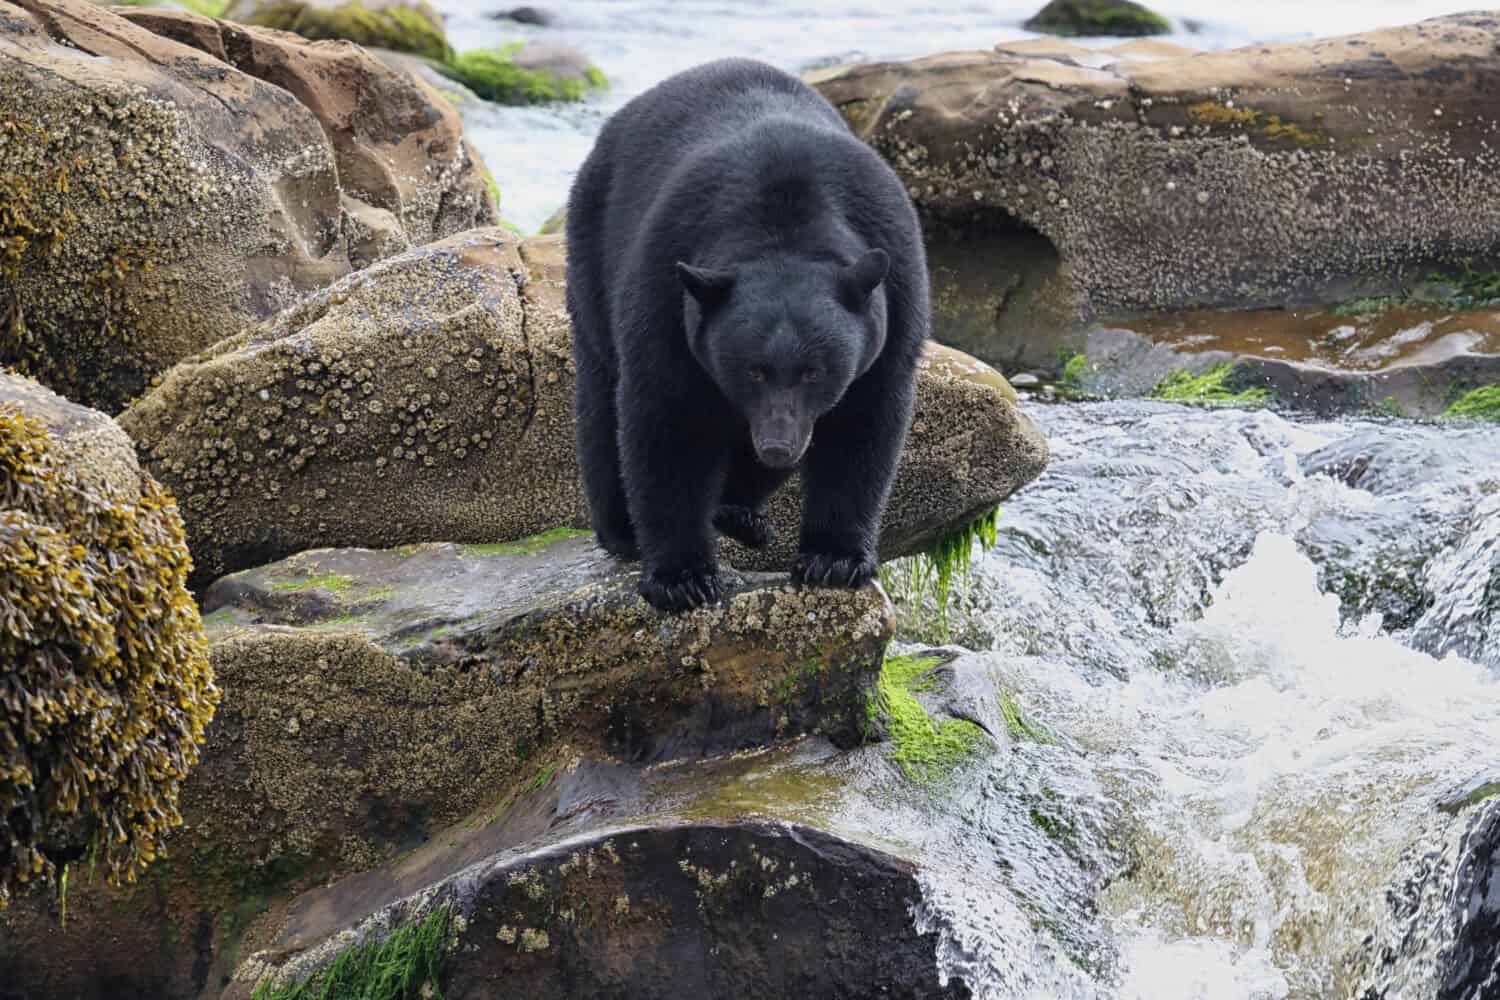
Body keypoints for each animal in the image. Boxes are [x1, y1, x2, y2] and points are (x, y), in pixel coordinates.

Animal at [564, 57, 928, 613]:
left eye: (815, 371)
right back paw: (622, 528)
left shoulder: (896, 298)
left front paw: (835, 558)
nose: (776, 444)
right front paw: (682, 577)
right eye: (752, 370)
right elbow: (666, 422)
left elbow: (865, 425)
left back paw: (739, 511)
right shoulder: (664, 291)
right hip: (591, 252)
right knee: (601, 400)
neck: (785, 225)